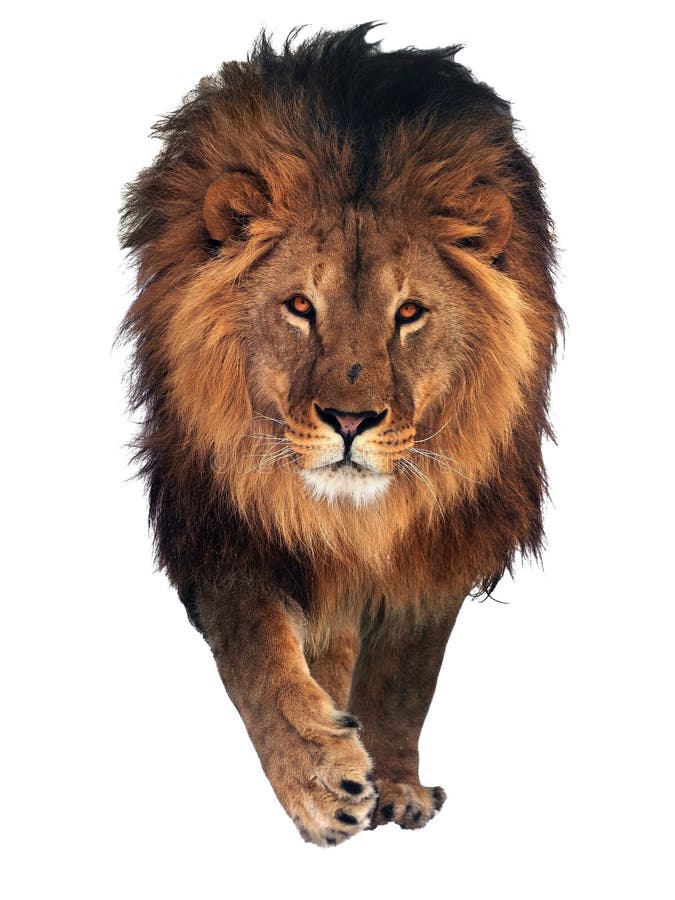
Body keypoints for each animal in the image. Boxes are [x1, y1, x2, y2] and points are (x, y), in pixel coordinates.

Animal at [120, 24, 562, 846]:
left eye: (409, 312)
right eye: (300, 306)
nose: (351, 422)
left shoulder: (442, 541)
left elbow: (406, 677)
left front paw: (395, 785)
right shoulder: (224, 525)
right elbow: (260, 658)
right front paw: (321, 781)